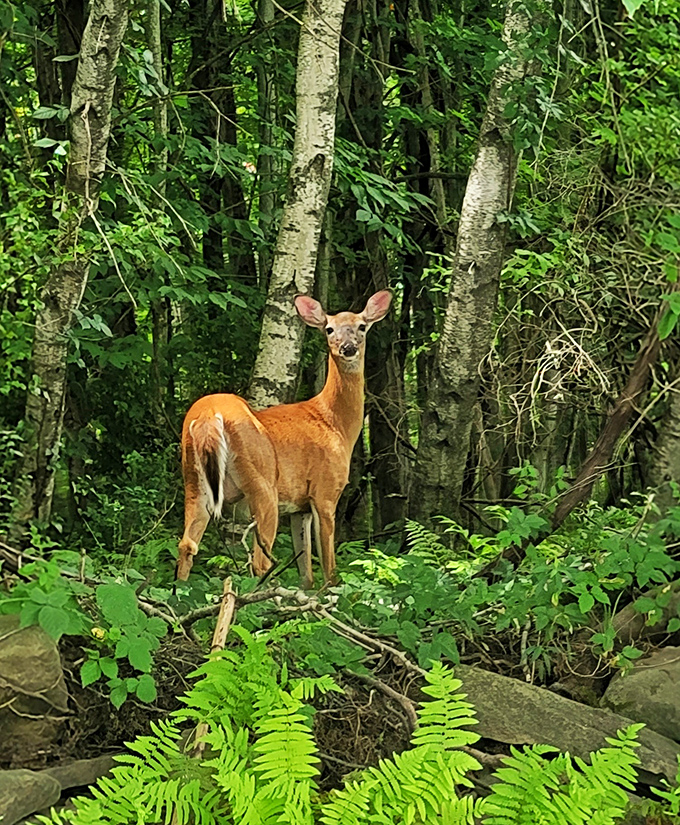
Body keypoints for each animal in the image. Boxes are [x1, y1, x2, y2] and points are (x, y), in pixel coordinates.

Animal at [176, 289, 392, 589]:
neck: (335, 423)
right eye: (329, 329)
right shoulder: (325, 491)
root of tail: (208, 416)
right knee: (261, 560)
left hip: (193, 480)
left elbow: (306, 572)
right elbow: (329, 568)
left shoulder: (298, 507)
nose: (348, 348)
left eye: (361, 326)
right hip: (263, 481)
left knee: (187, 545)